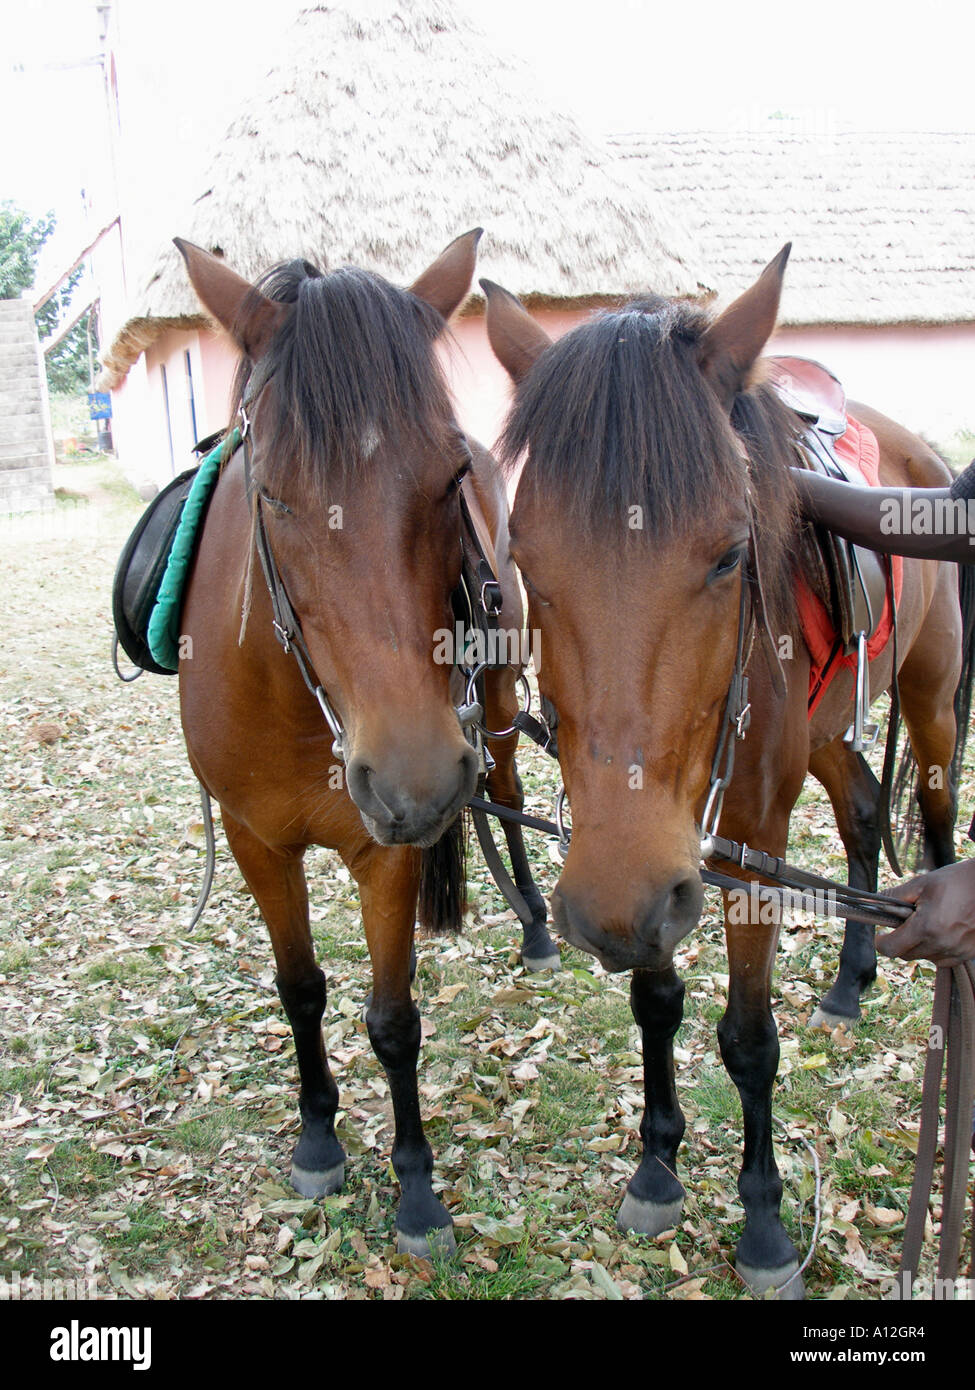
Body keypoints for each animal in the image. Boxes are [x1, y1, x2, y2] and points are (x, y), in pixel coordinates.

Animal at [171, 229, 557, 1258]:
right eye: (271, 494)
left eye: (448, 479)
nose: (418, 781)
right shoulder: (258, 841)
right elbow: (299, 987)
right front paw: (316, 1137)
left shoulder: (387, 852)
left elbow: (392, 1020)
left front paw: (415, 1187)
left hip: (493, 702)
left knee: (508, 783)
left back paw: (538, 924)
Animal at [481, 246, 973, 1296]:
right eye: (525, 560)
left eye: (728, 554)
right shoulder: (649, 863)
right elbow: (654, 1001)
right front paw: (656, 1165)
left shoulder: (738, 841)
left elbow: (747, 1040)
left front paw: (763, 1224)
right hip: (820, 738)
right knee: (861, 809)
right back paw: (849, 981)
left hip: (928, 702)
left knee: (931, 816)